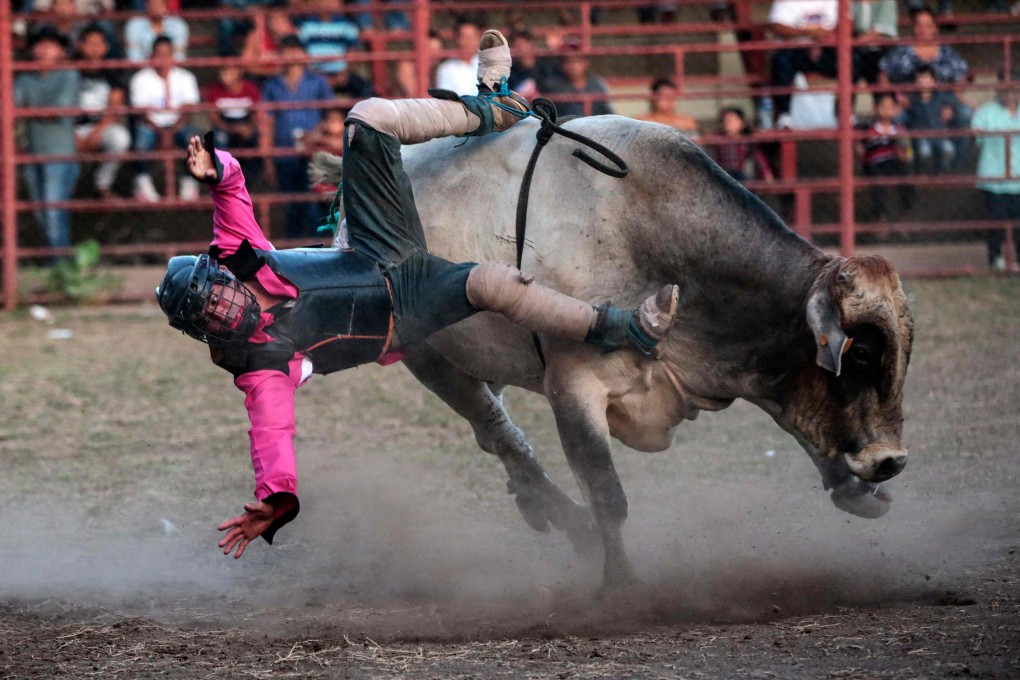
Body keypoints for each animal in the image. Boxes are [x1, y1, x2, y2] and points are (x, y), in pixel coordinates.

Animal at [321, 115, 914, 590]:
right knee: (494, 427)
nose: (892, 461)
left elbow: (795, 413)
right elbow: (607, 493)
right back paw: (562, 516)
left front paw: (852, 488)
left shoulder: (746, 362)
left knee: (497, 430)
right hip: (429, 356)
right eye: (862, 354)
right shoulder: (573, 388)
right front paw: (621, 585)